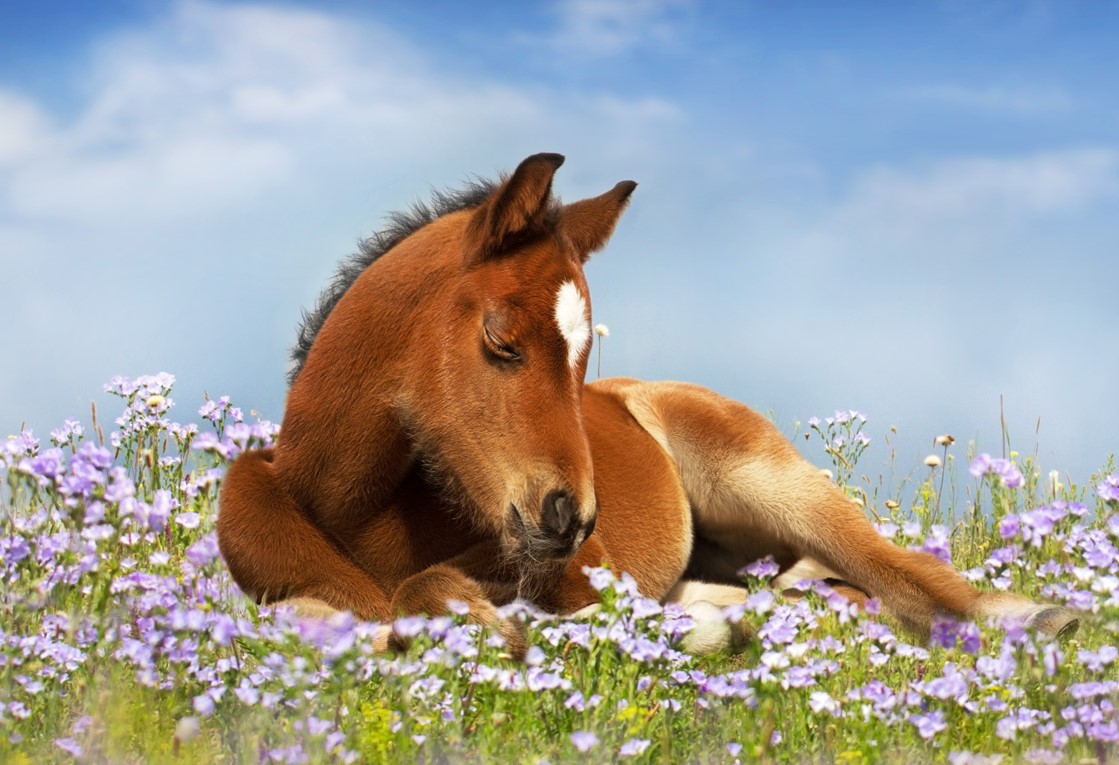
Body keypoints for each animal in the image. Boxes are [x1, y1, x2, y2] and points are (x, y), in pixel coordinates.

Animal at [216, 153, 1078, 654]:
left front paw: (498, 626)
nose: (568, 516)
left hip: (773, 483)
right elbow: (327, 613)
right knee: (812, 592)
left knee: (898, 573)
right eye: (498, 338)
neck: (353, 511)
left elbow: (423, 592)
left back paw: (1038, 619)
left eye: (583, 353)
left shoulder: (579, 574)